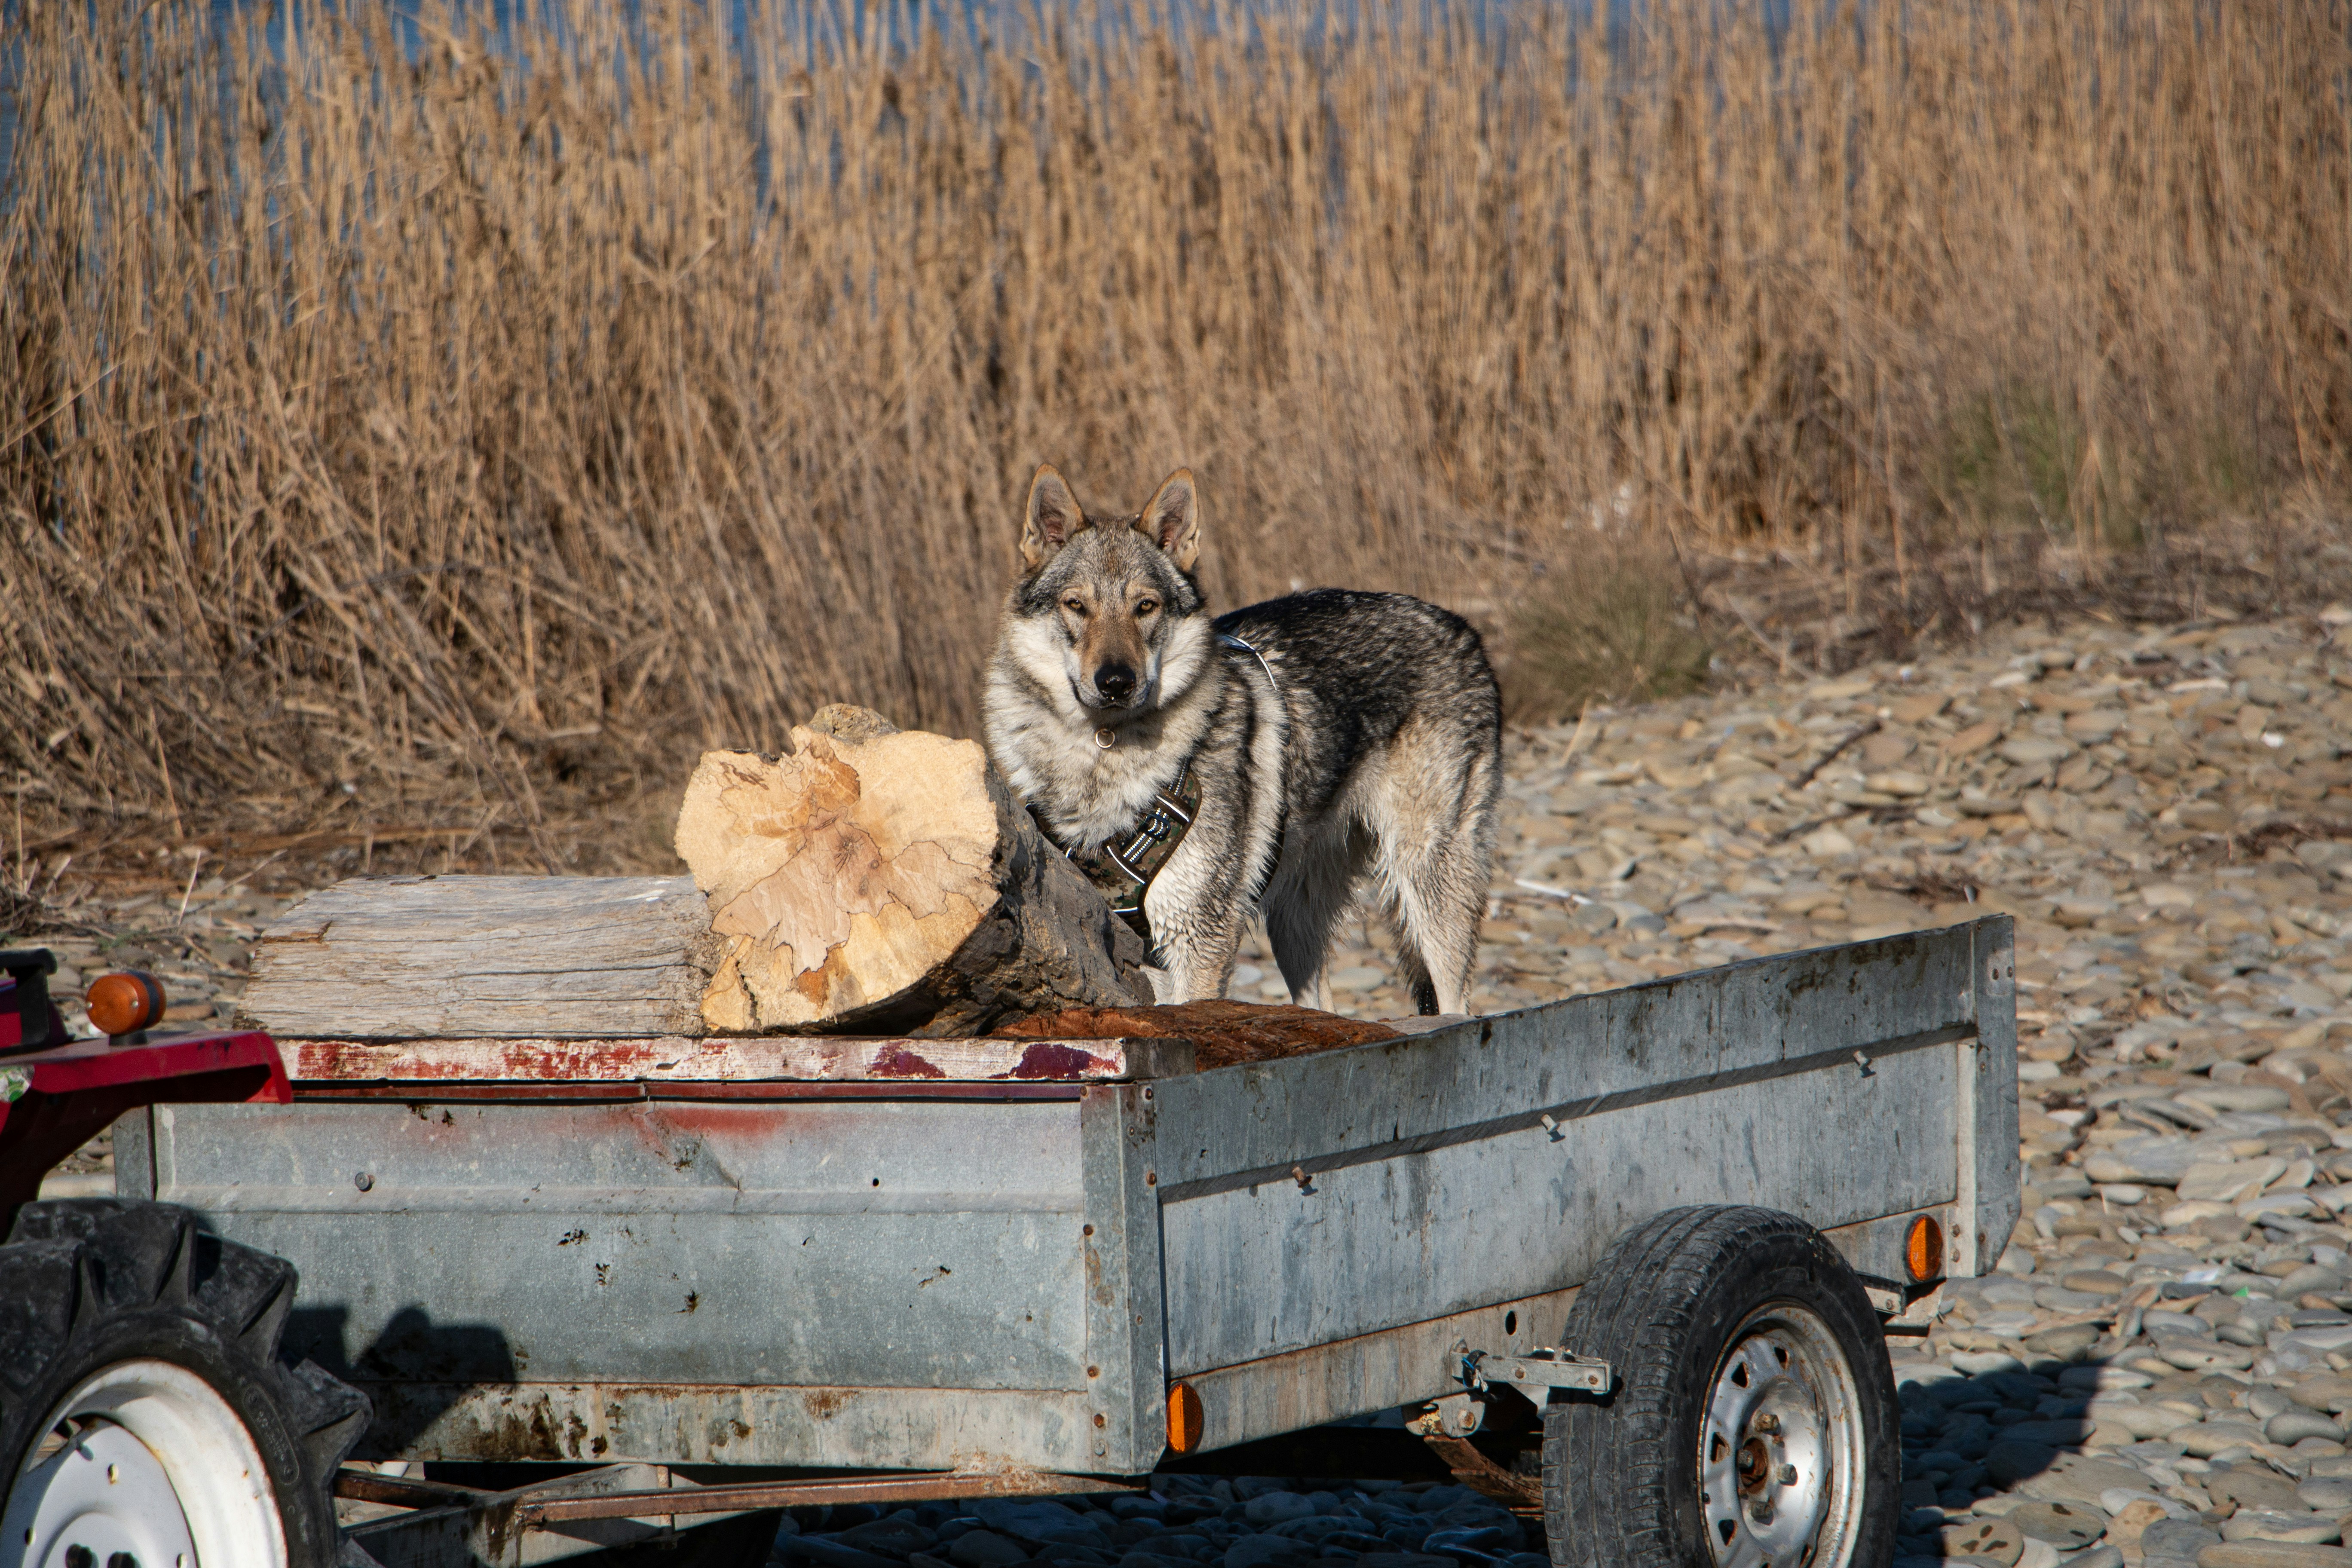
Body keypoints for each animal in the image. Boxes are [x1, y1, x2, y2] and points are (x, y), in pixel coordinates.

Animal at [983, 463, 1502, 1014]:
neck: (1100, 758)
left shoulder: (1199, 939)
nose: (1117, 682)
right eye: (1077, 606)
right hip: (1294, 925)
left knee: (1457, 1004)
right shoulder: (1142, 947)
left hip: (1425, 881)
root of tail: (1461, 626)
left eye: (1145, 606)